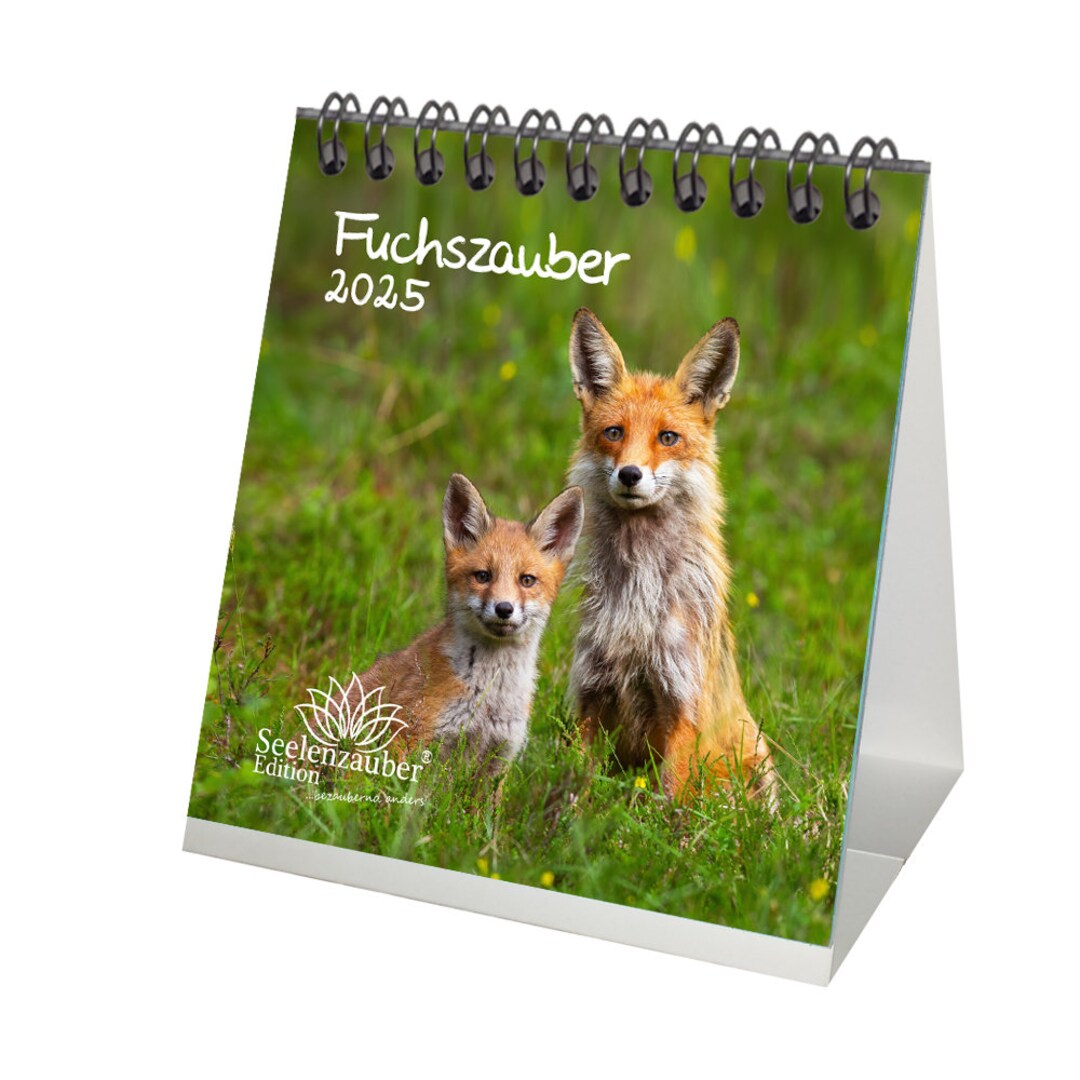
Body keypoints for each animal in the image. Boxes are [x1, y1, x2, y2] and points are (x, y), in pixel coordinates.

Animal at [341, 473, 584, 772]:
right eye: (483, 576)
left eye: (527, 580)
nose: (504, 608)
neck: (491, 695)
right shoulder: (408, 737)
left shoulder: (499, 757)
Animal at [566, 308, 779, 808]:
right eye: (614, 433)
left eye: (668, 437)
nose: (630, 474)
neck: (637, 603)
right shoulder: (592, 692)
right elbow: (572, 788)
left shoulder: (681, 700)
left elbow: (670, 802)